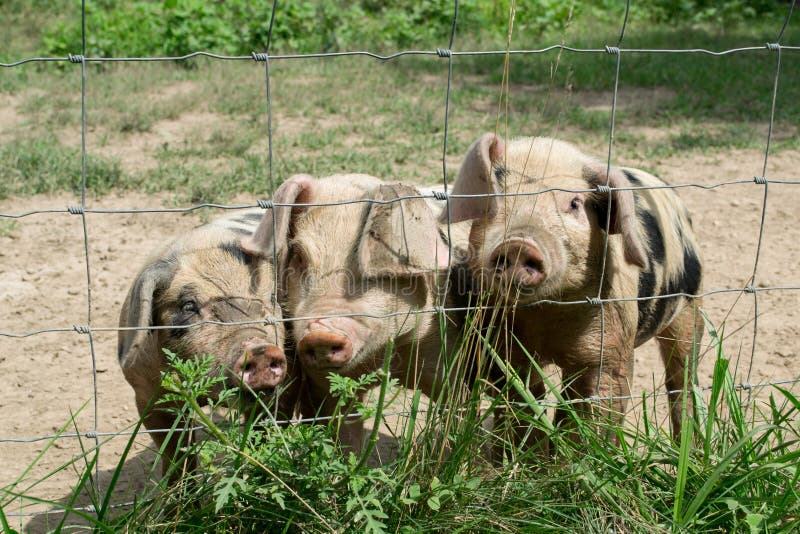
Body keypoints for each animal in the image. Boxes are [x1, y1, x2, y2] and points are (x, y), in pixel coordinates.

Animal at [244, 174, 469, 453]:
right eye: (299, 257)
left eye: (370, 267)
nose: (321, 334)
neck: (385, 359)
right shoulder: (323, 383)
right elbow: (342, 433)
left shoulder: (447, 352)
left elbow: (457, 414)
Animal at [446, 133, 703, 450]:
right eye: (492, 198)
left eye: (574, 203)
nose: (519, 244)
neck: (545, 315)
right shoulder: (501, 343)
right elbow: (522, 404)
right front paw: (522, 457)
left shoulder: (610, 342)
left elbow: (595, 408)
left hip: (689, 305)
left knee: (682, 376)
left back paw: (688, 449)